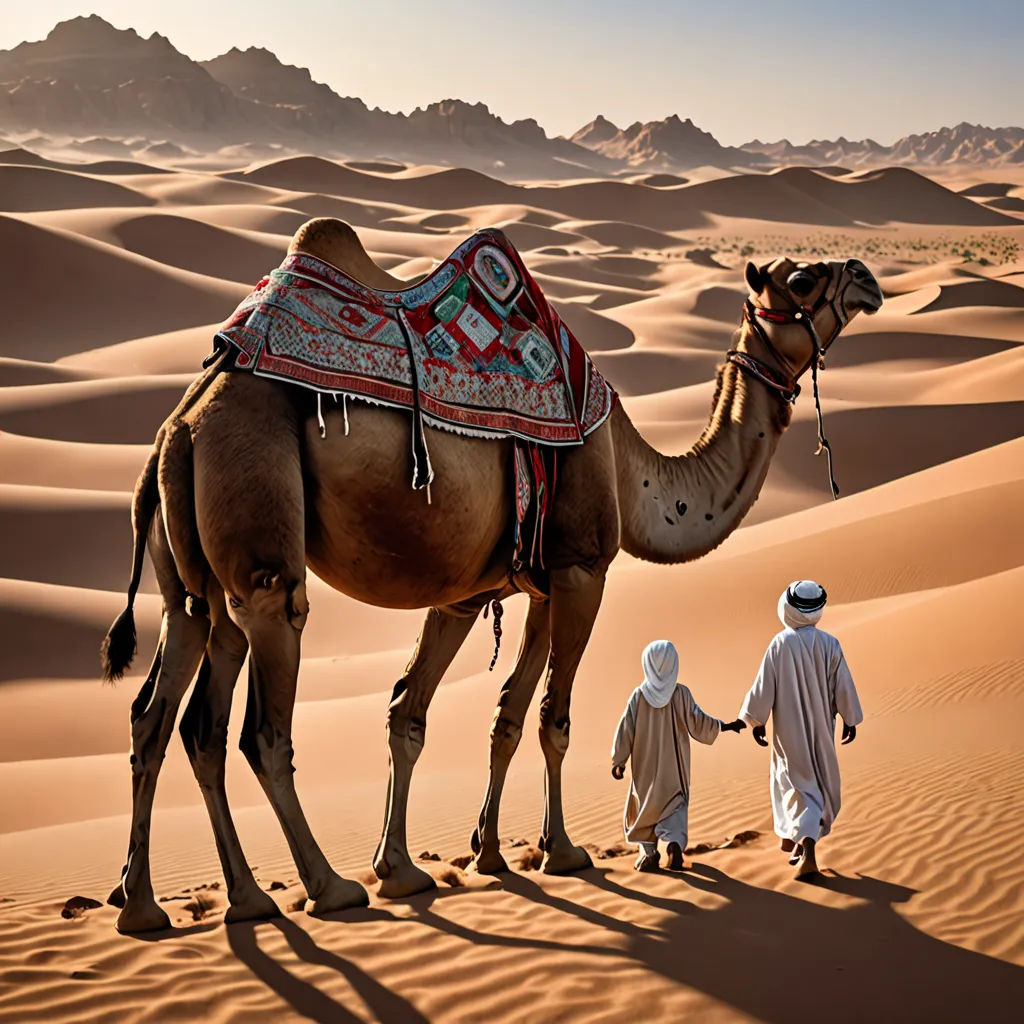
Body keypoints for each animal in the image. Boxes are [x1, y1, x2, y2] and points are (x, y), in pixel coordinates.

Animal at [100, 218, 882, 932]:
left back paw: (178, 904)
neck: (632, 475)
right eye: (802, 279)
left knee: (171, 717)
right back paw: (326, 888)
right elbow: (552, 719)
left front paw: (442, 861)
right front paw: (560, 851)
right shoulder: (581, 569)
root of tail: (179, 426)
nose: (866, 277)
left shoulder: (490, 591)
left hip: (196, 587)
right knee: (260, 724)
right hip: (262, 537)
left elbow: (445, 714)